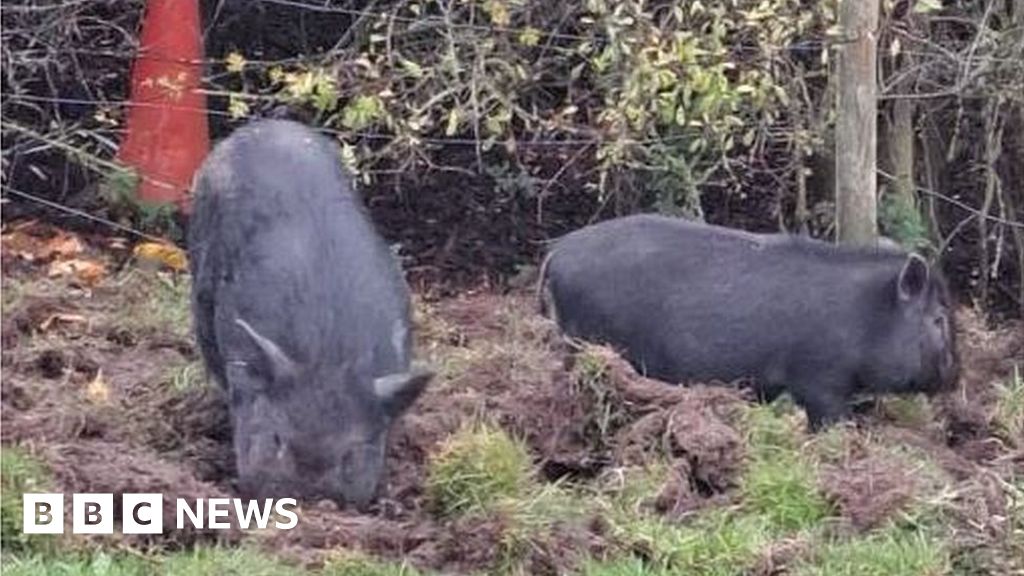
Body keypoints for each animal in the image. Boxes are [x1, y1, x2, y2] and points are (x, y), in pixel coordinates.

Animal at [539, 214, 958, 430]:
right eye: (938, 319)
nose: (958, 375)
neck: (866, 315)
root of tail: (556, 252)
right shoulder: (819, 379)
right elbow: (829, 418)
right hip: (587, 338)